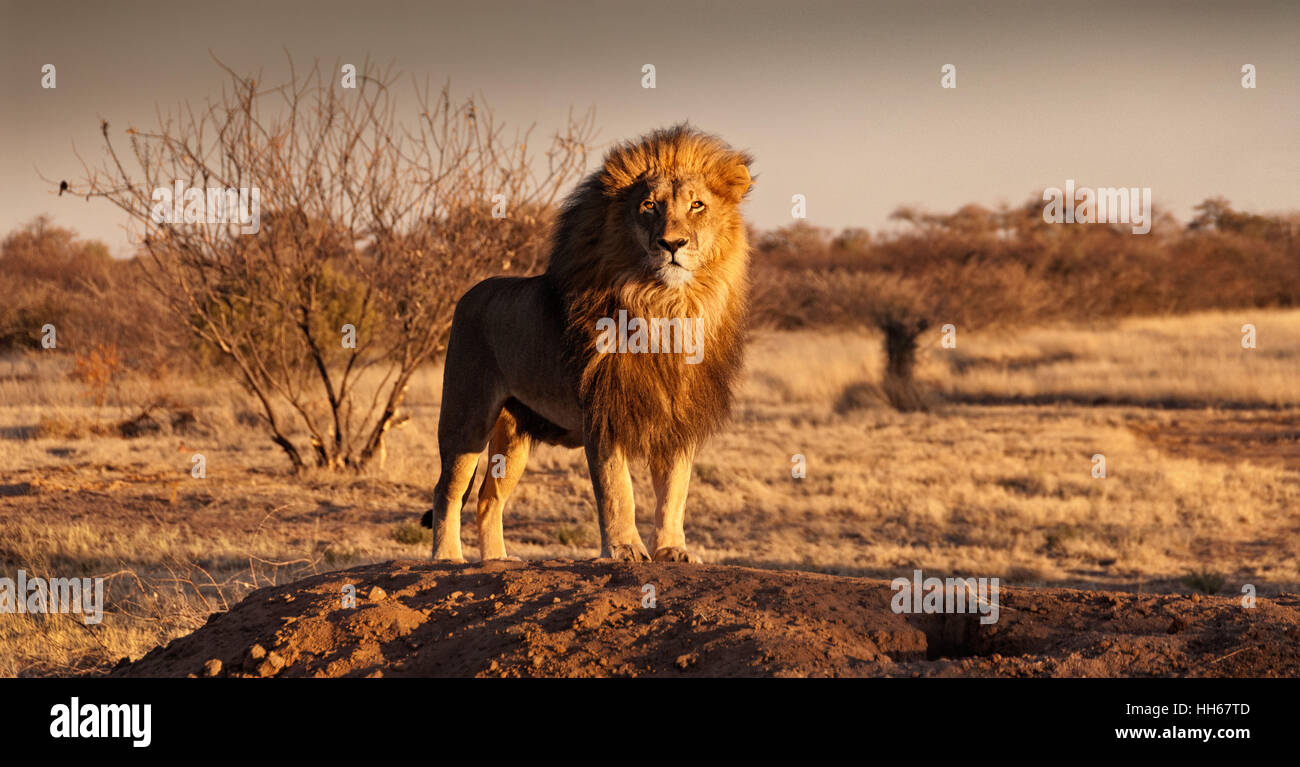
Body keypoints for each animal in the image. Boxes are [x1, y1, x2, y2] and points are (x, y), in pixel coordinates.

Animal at [420, 125, 753, 563]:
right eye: (649, 205)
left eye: (697, 205)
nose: (672, 244)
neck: (666, 307)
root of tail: (470, 292)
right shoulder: (603, 412)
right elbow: (617, 490)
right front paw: (625, 549)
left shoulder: (679, 418)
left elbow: (674, 492)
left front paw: (672, 550)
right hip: (466, 416)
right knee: (448, 490)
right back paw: (448, 558)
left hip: (513, 437)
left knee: (488, 499)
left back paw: (497, 561)